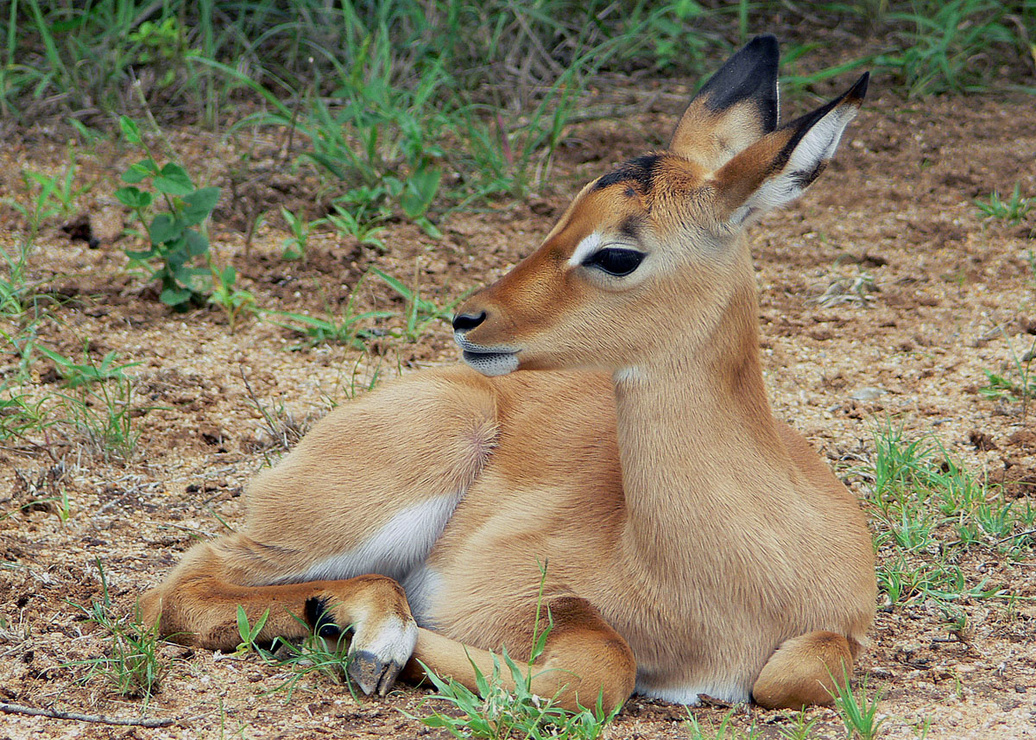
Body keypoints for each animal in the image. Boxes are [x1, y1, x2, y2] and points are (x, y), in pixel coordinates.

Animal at [141, 36, 876, 712]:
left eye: (617, 253)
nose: (469, 318)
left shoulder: (834, 635)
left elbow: (796, 674)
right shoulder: (513, 596)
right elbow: (605, 663)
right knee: (182, 585)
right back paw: (369, 638)